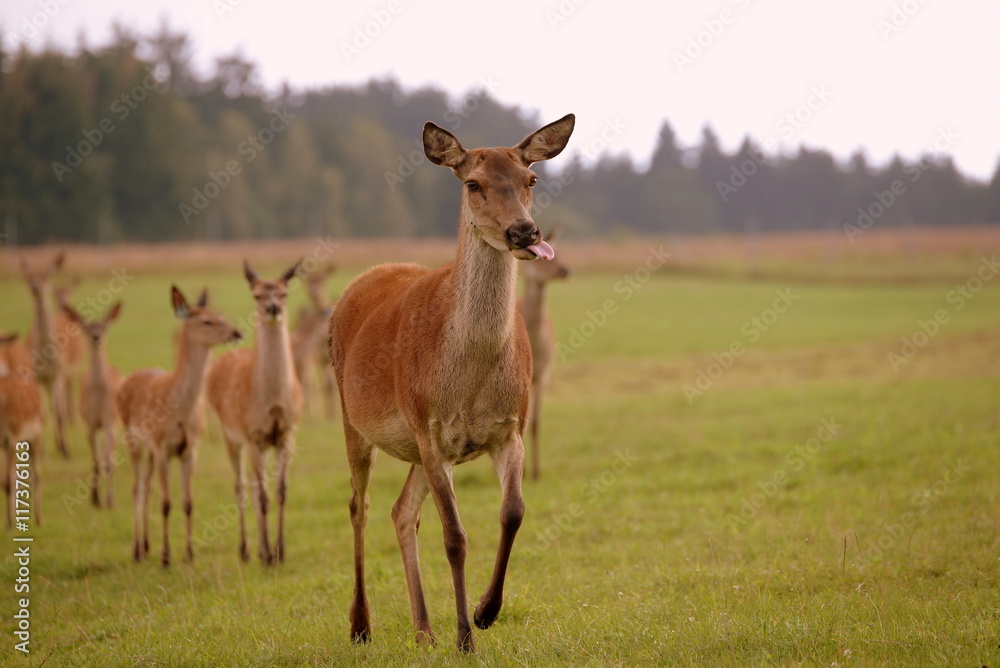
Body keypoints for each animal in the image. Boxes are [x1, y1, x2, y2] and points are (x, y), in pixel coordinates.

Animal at [62, 302, 123, 509]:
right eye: (86, 328)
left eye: (104, 327)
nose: (96, 337)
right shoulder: (89, 423)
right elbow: (95, 461)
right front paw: (95, 499)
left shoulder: (109, 420)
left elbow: (108, 463)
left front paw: (110, 501)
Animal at [117, 286, 242, 566]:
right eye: (207, 321)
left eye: (218, 314)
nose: (237, 332)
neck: (180, 412)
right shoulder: (162, 447)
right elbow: (166, 503)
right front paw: (166, 558)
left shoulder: (190, 449)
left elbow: (187, 502)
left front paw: (189, 553)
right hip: (133, 441)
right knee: (137, 489)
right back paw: (136, 550)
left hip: (150, 451)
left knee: (147, 488)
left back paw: (146, 546)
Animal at [206, 260, 303, 565]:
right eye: (256, 294)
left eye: (284, 292)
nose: (273, 308)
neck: (270, 403)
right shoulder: (253, 435)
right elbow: (262, 497)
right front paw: (268, 553)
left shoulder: (287, 433)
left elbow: (281, 492)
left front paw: (281, 550)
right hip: (230, 436)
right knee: (240, 487)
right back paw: (247, 550)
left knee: (250, 484)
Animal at [328, 113, 575, 652]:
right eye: (473, 183)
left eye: (531, 179)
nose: (524, 231)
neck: (471, 383)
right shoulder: (430, 428)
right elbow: (456, 538)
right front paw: (466, 635)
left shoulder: (509, 426)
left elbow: (513, 512)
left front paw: (486, 612)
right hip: (354, 417)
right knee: (359, 505)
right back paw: (361, 625)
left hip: (414, 448)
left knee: (401, 511)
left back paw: (423, 630)